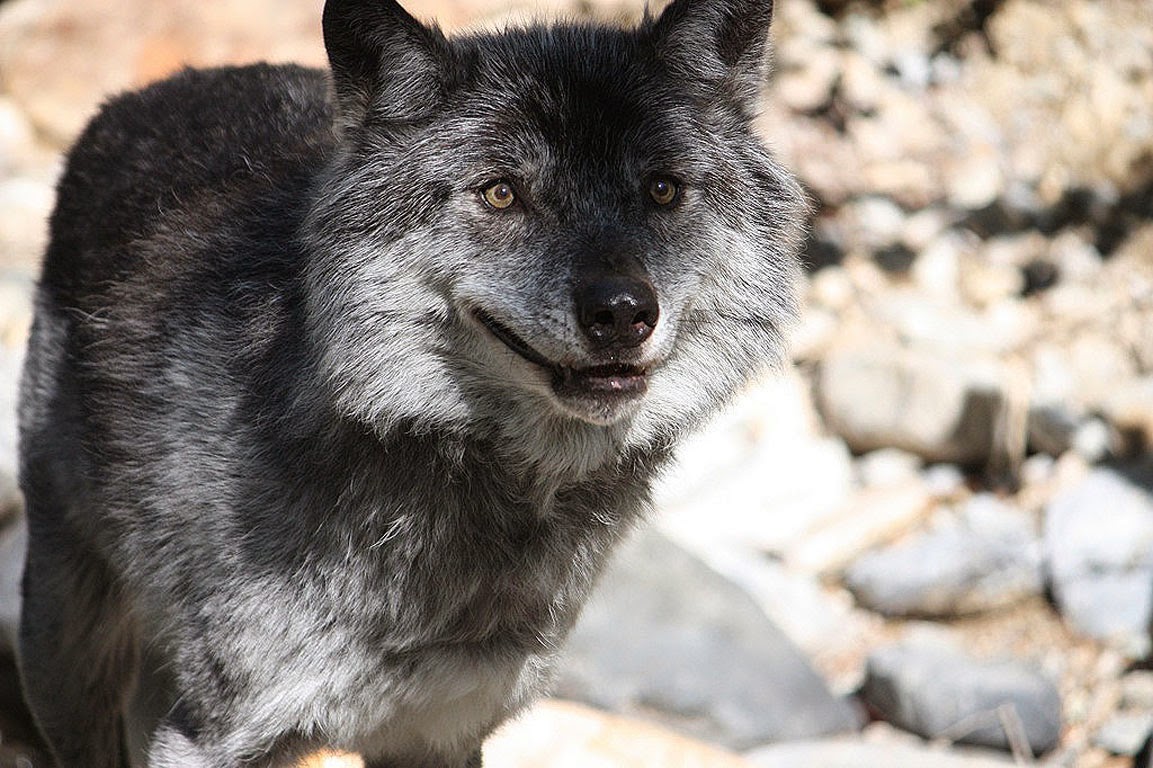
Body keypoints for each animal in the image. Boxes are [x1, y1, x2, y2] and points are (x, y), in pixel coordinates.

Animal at [16, 0, 804, 764]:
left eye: (663, 189)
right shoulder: (210, 734)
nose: (621, 312)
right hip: (63, 653)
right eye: (501, 193)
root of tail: (154, 91)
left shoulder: (442, 732)